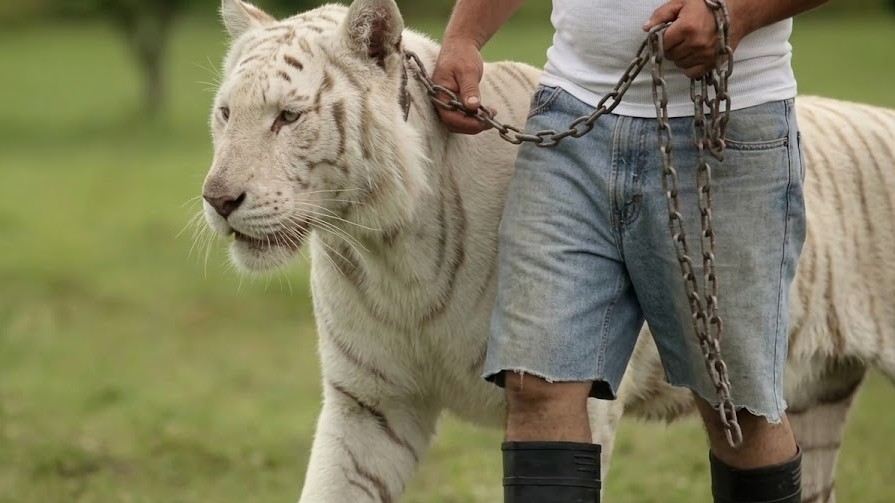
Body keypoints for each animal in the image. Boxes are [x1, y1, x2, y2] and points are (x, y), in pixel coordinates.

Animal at [199, 0, 895, 501]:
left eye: (288, 117)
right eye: (226, 114)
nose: (217, 198)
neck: (386, 246)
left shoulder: (585, 393)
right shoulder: (370, 402)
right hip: (813, 399)